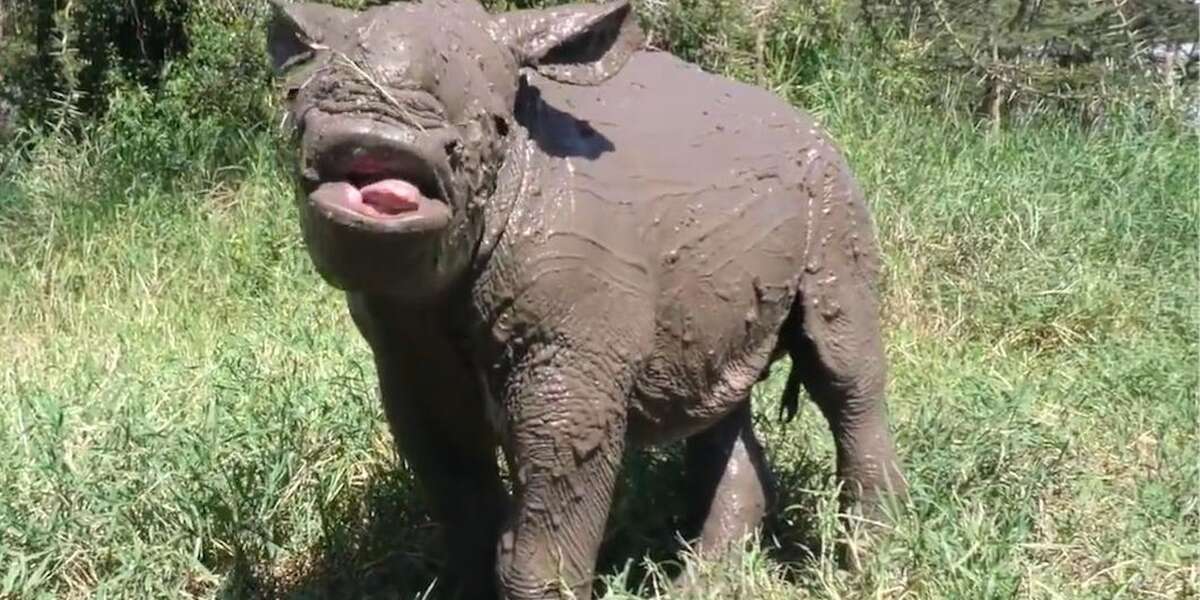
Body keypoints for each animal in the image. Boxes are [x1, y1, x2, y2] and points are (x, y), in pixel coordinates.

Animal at [267, 0, 905, 597]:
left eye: (494, 130)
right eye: (298, 111)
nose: (374, 140)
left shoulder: (571, 355)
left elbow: (548, 516)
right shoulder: (406, 344)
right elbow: (459, 495)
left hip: (833, 191)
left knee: (843, 371)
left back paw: (868, 565)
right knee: (719, 394)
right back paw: (702, 585)